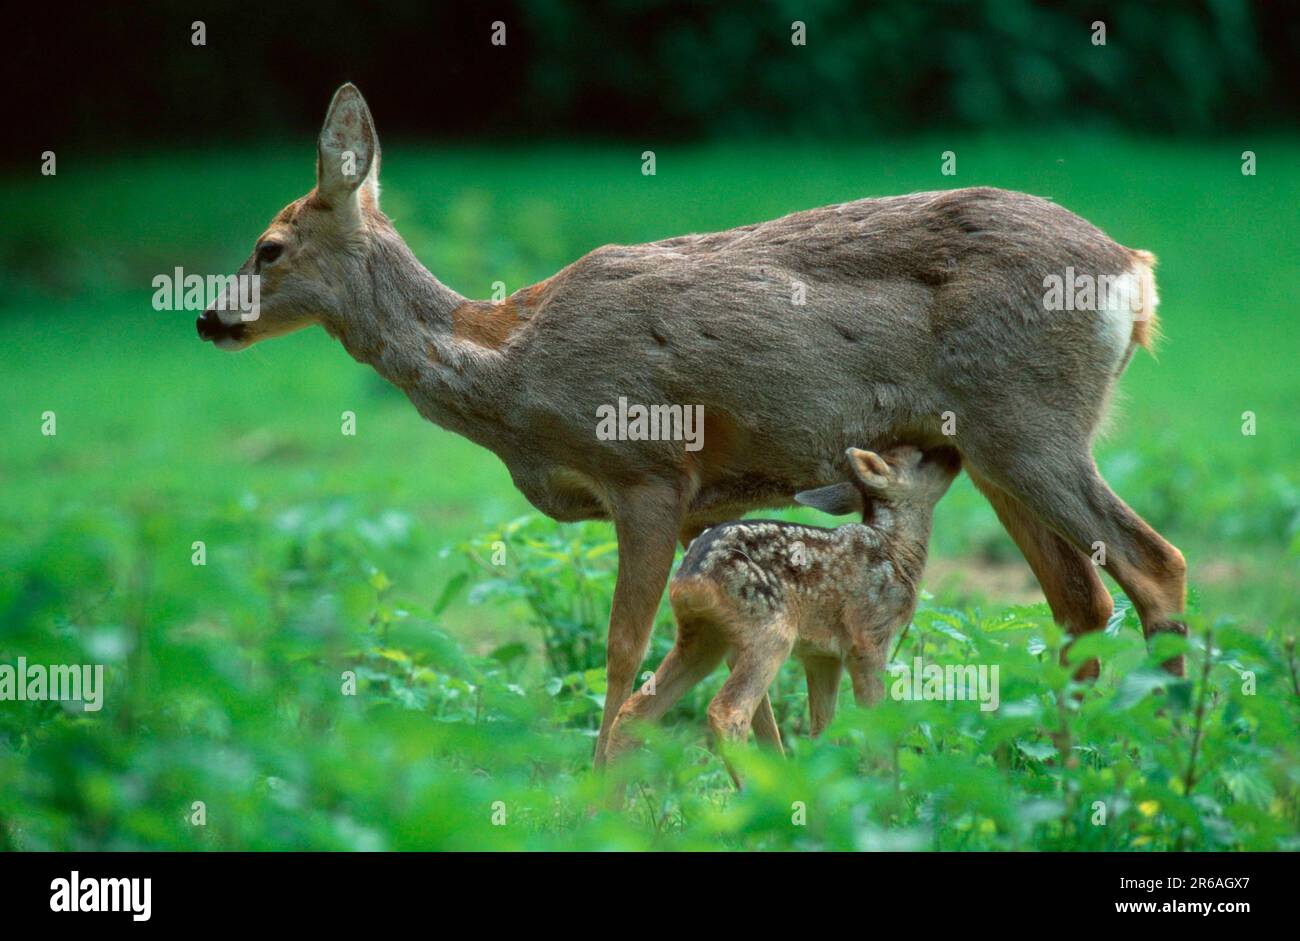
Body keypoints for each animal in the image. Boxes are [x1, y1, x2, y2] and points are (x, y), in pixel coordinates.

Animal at [606, 444, 960, 785]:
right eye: (920, 456)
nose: (952, 454)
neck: (896, 551)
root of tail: (691, 576)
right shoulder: (870, 637)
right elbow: (877, 725)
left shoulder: (822, 655)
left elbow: (822, 728)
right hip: (770, 632)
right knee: (728, 712)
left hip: (703, 640)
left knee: (634, 711)